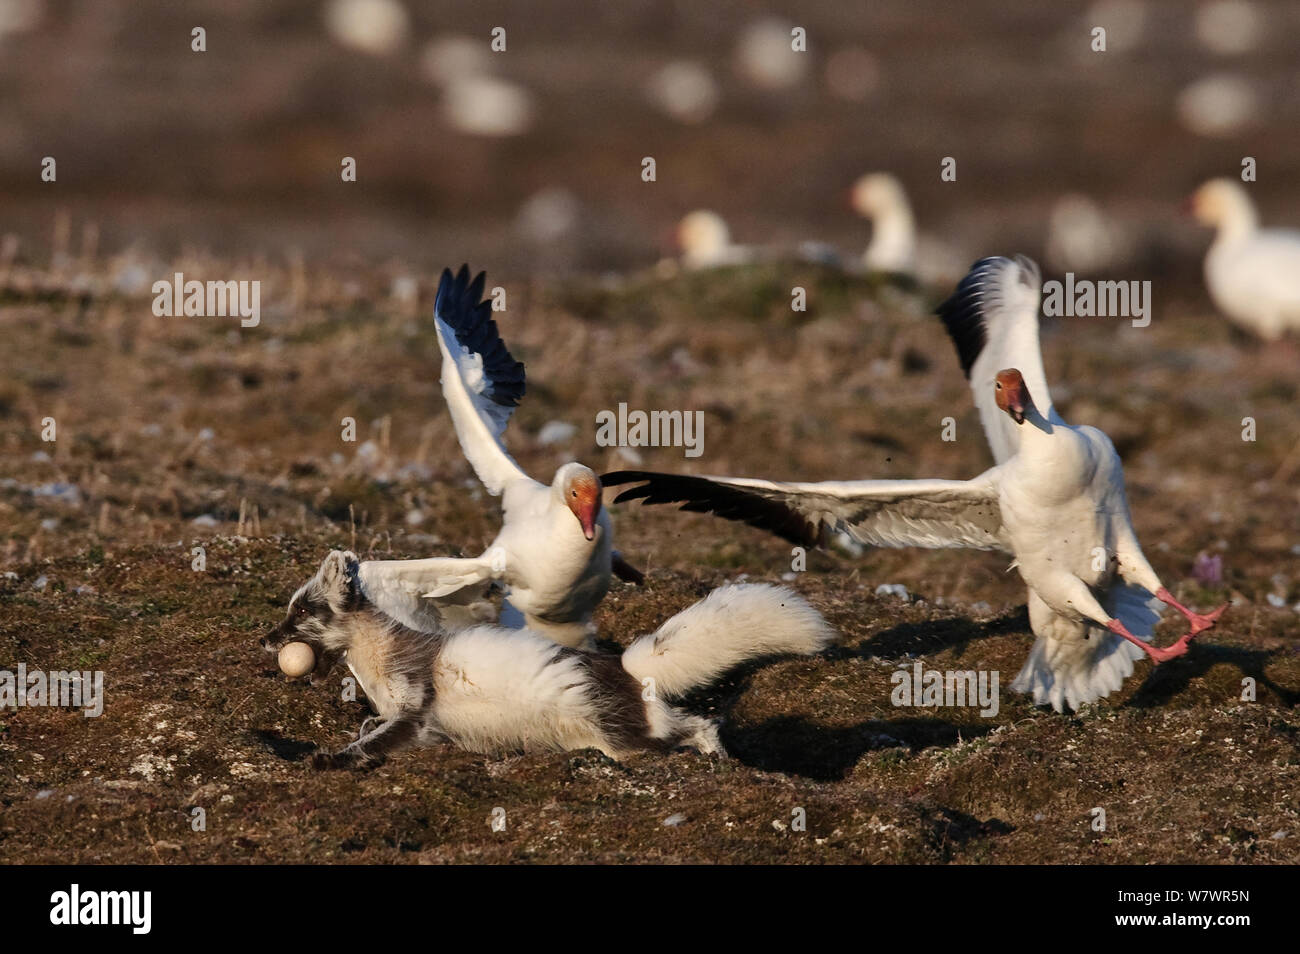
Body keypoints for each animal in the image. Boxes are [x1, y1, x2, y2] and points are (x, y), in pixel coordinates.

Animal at [262, 550, 835, 769]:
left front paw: (330, 759)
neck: (375, 667)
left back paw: (717, 757)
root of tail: (627, 669)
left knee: (696, 724)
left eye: (302, 612)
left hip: (622, 734)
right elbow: (375, 729)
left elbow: (381, 738)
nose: (268, 639)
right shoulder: (414, 720)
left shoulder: (414, 701)